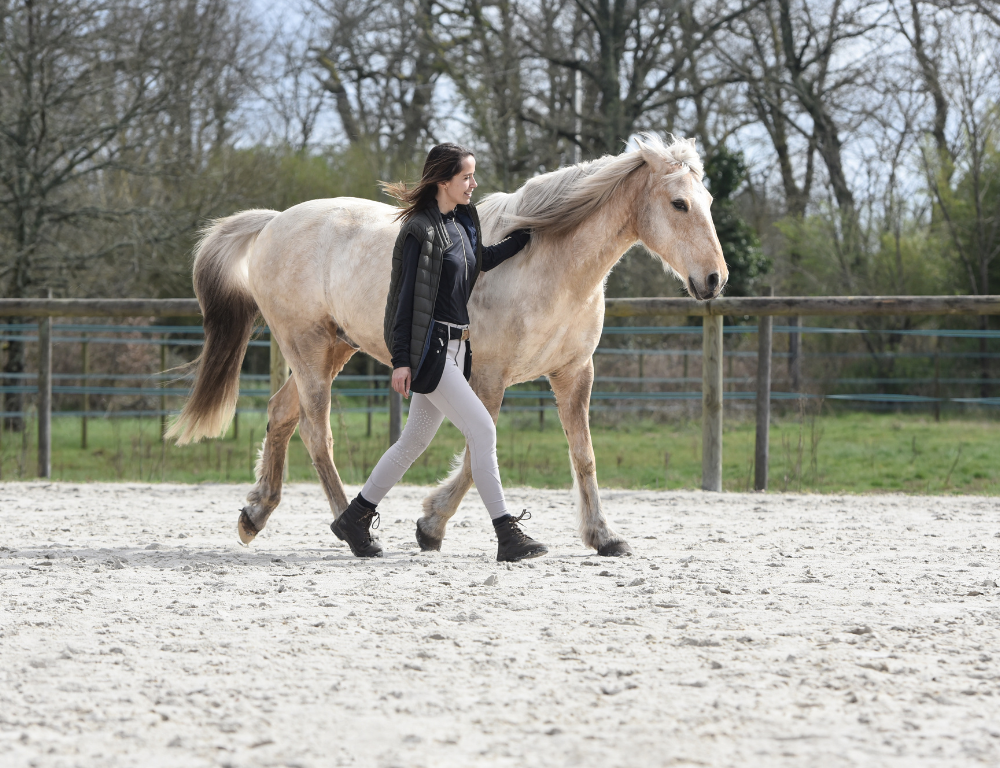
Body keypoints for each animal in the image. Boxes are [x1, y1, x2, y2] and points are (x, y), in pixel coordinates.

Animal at [167, 133, 727, 556]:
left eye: (708, 202)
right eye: (678, 203)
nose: (714, 280)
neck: (550, 267)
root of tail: (272, 222)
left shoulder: (574, 374)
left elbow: (582, 453)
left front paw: (604, 537)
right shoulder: (490, 377)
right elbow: (479, 456)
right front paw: (431, 526)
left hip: (332, 351)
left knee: (282, 415)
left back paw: (254, 514)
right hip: (307, 350)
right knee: (315, 432)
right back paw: (353, 533)